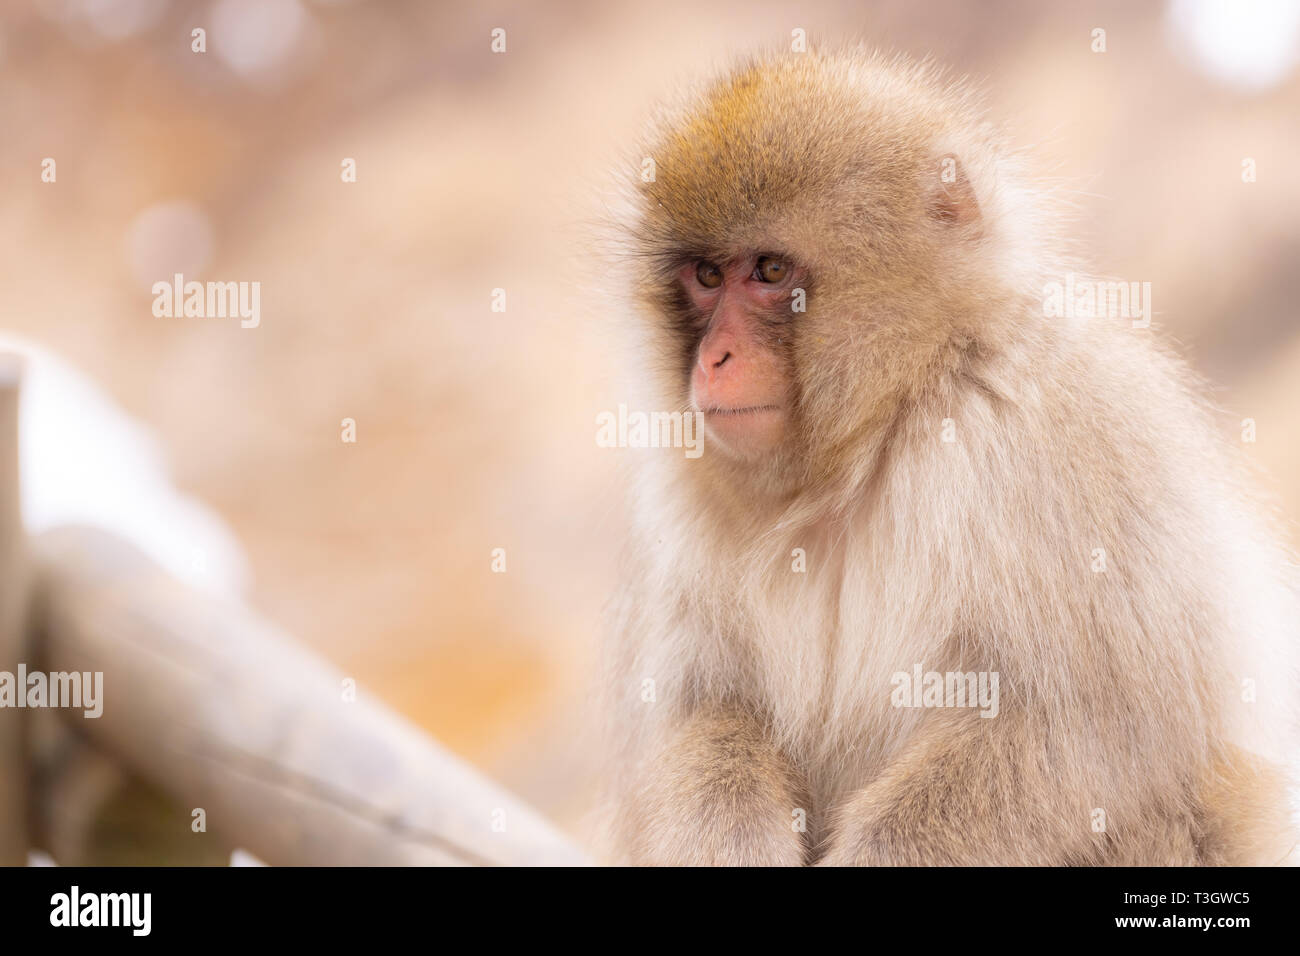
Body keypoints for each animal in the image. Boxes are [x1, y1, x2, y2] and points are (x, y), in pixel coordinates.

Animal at [598, 49, 1299, 866]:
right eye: (707, 277)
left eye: (769, 271)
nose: (714, 359)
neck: (877, 433)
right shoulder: (681, 506)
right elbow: (703, 709)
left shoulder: (1054, 431)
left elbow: (1093, 725)